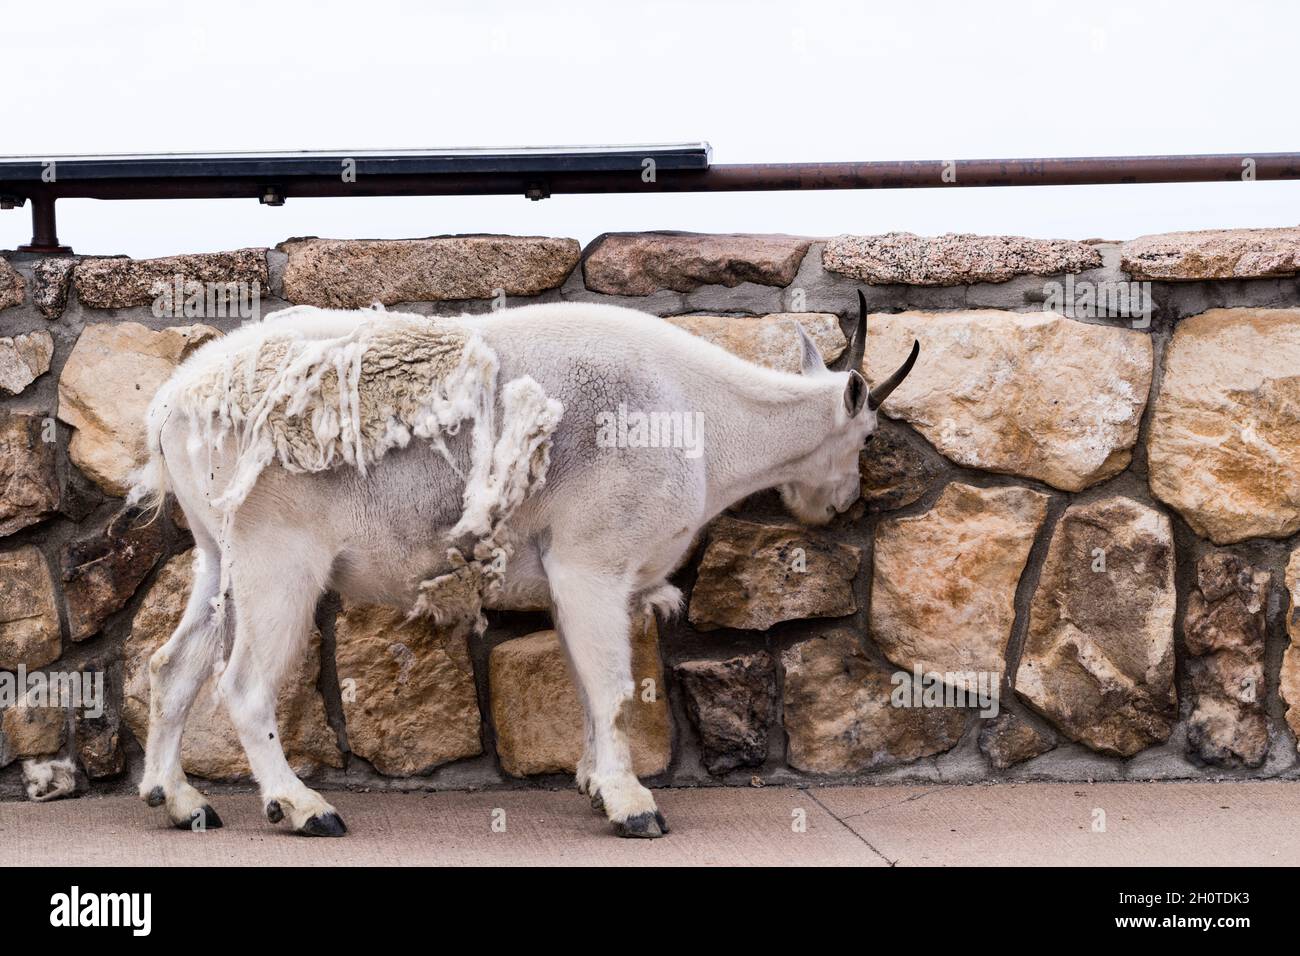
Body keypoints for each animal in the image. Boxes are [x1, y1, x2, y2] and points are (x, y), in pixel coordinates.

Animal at [129, 292, 918, 838]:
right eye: (864, 435)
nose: (838, 505)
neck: (708, 423)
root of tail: (169, 404)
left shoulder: (574, 579)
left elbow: (586, 683)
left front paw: (594, 783)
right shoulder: (595, 561)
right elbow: (613, 689)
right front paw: (632, 807)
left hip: (217, 553)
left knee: (174, 665)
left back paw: (181, 801)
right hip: (277, 556)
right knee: (243, 685)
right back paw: (301, 807)